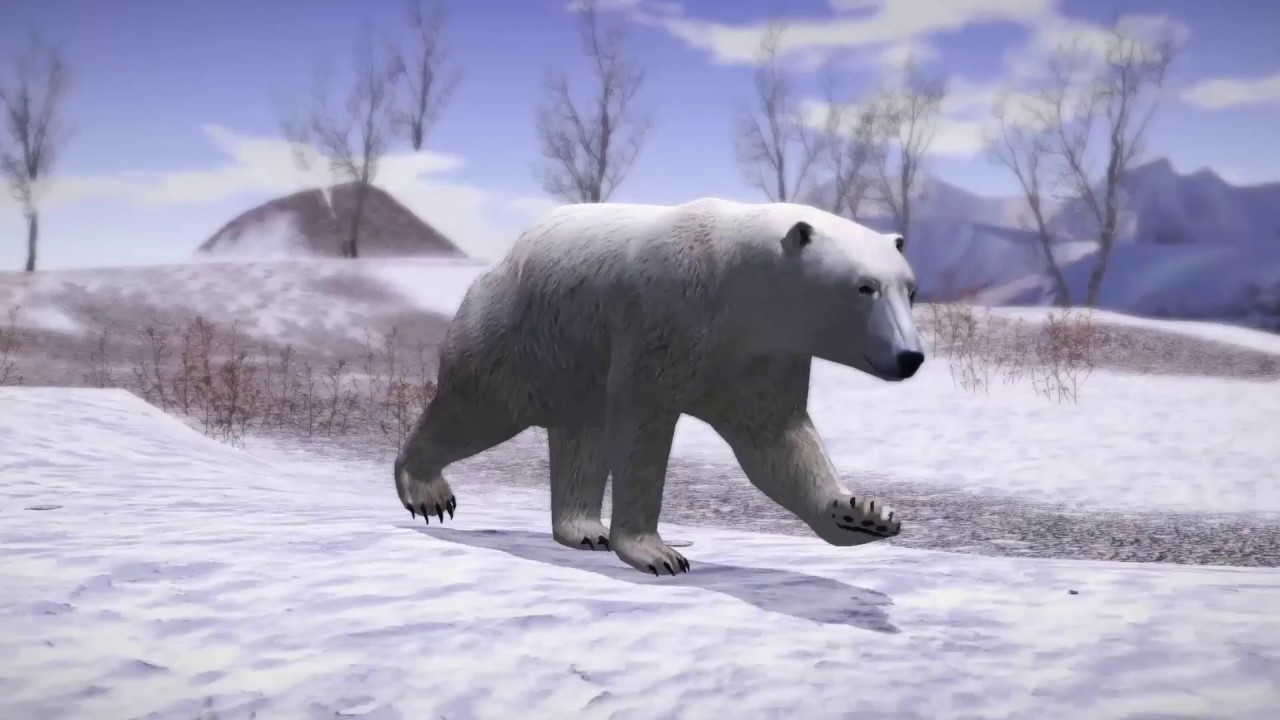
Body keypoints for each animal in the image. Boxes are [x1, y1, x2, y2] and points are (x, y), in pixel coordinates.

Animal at [394, 197, 925, 576]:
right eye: (864, 287)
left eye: (910, 289)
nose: (911, 357)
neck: (740, 293)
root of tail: (505, 256)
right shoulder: (666, 321)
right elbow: (642, 432)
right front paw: (657, 553)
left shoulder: (763, 357)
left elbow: (778, 441)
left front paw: (864, 513)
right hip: (524, 337)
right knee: (478, 408)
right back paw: (426, 491)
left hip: (577, 360)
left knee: (581, 440)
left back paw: (585, 529)